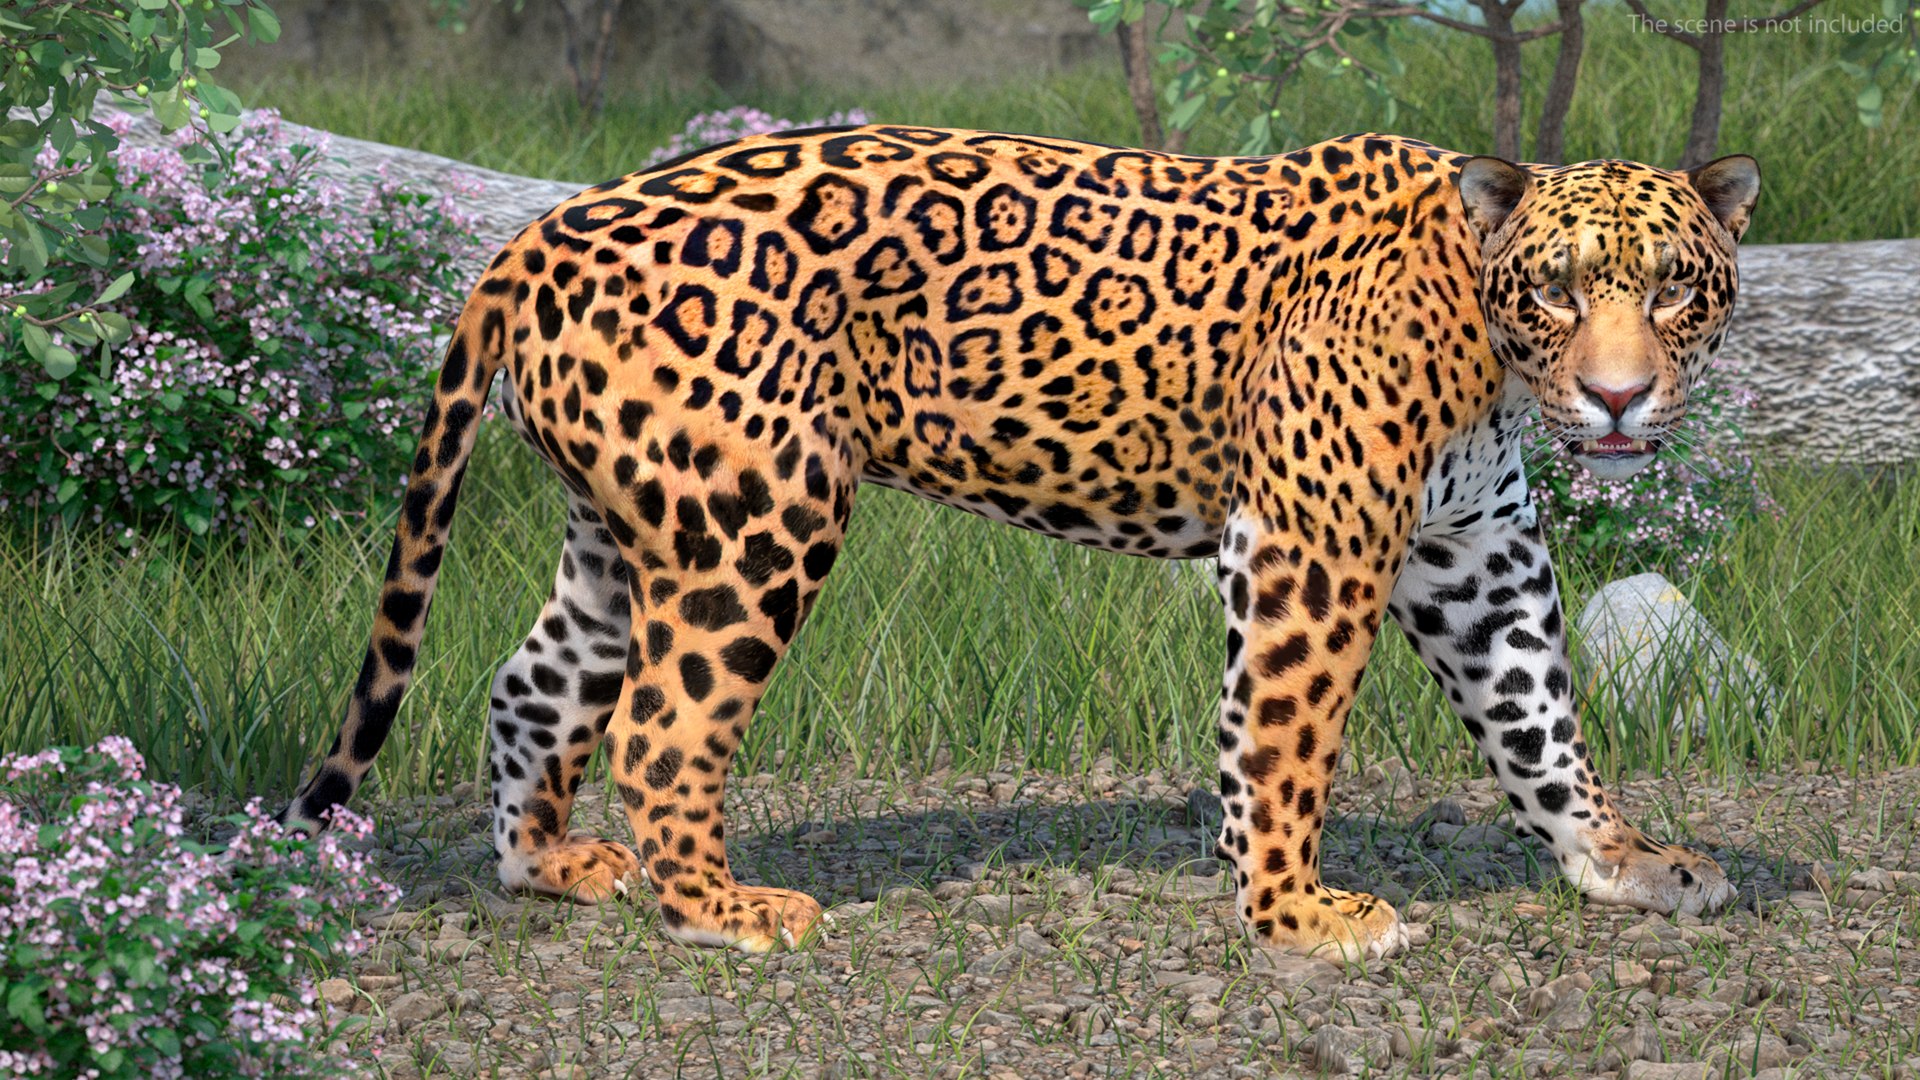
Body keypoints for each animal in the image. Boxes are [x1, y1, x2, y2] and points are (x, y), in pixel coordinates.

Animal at [282, 126, 1762, 960]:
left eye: (1672, 290)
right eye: (1558, 289)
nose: (1619, 398)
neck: (1485, 337)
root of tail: (531, 236)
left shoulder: (1474, 553)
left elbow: (1539, 715)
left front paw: (1625, 861)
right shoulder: (1309, 543)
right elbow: (1285, 741)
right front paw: (1293, 914)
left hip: (633, 519)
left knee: (532, 686)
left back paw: (552, 866)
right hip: (758, 519)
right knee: (659, 727)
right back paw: (718, 908)